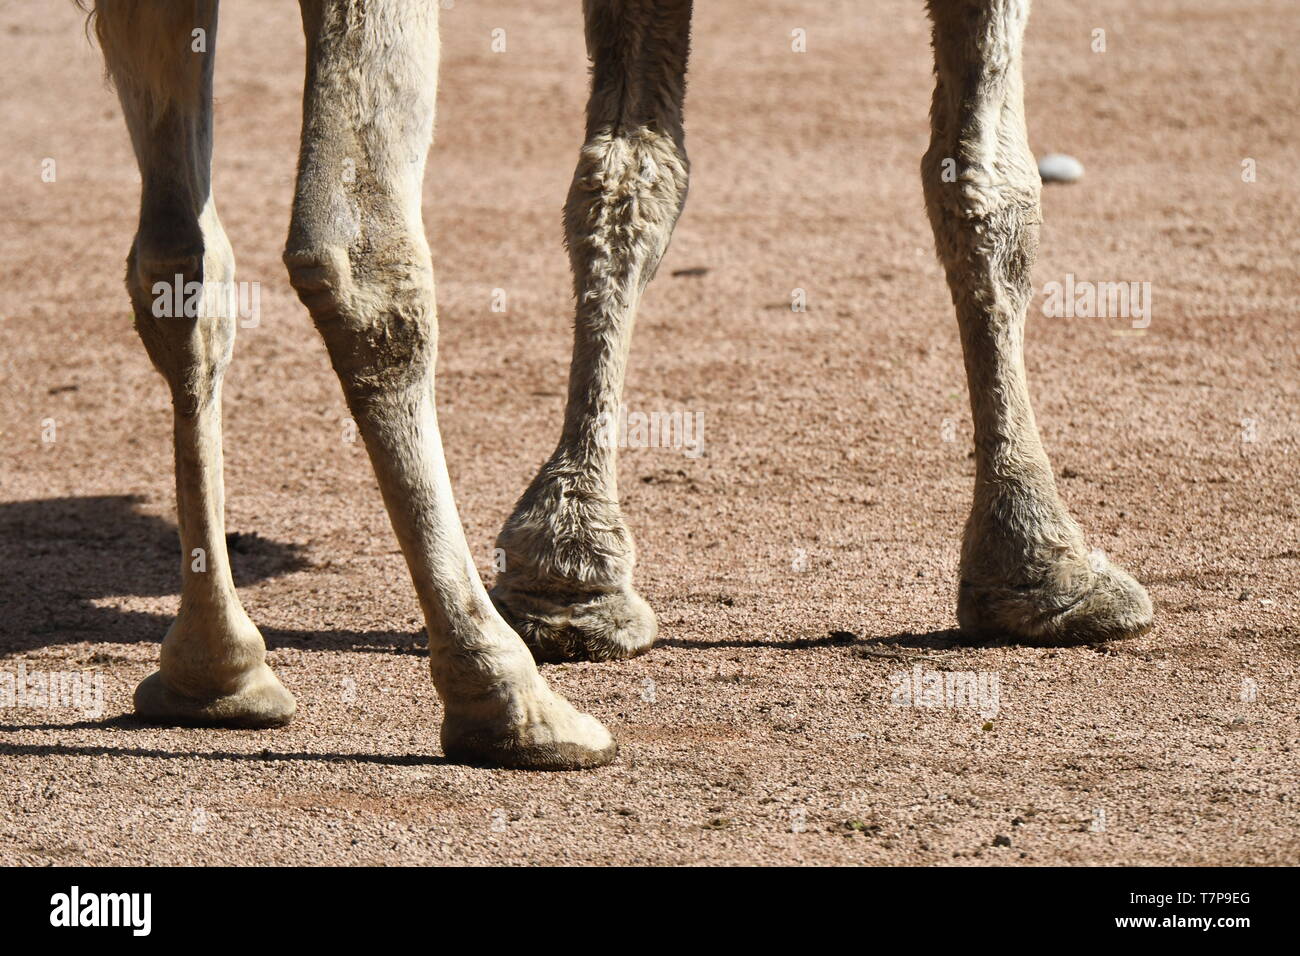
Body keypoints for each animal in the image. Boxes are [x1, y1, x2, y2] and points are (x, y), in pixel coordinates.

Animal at [85, 0, 1152, 770]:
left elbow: (630, 168)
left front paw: (571, 567)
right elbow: (992, 178)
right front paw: (1047, 560)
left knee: (179, 263)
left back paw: (214, 670)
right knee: (354, 255)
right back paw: (508, 701)